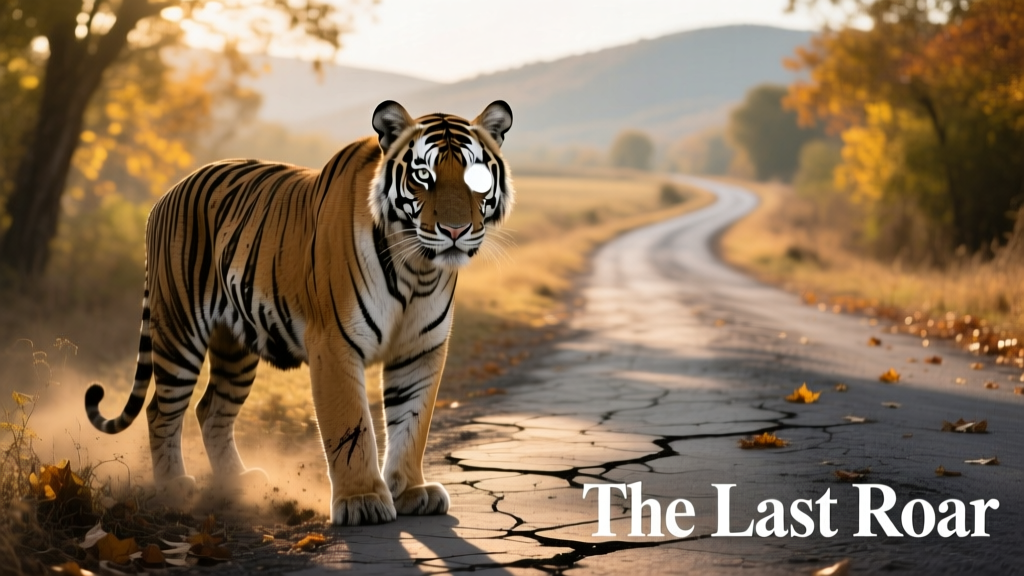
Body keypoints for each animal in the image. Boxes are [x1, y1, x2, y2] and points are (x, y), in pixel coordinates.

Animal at [84, 100, 514, 525]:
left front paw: (410, 491)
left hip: (236, 349)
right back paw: (174, 486)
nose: (455, 231)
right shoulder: (335, 343)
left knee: (212, 409)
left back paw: (236, 481)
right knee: (160, 409)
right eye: (423, 175)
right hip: (179, 331)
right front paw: (362, 501)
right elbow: (351, 424)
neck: (417, 269)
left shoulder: (420, 350)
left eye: (476, 178)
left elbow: (412, 423)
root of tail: (166, 194)